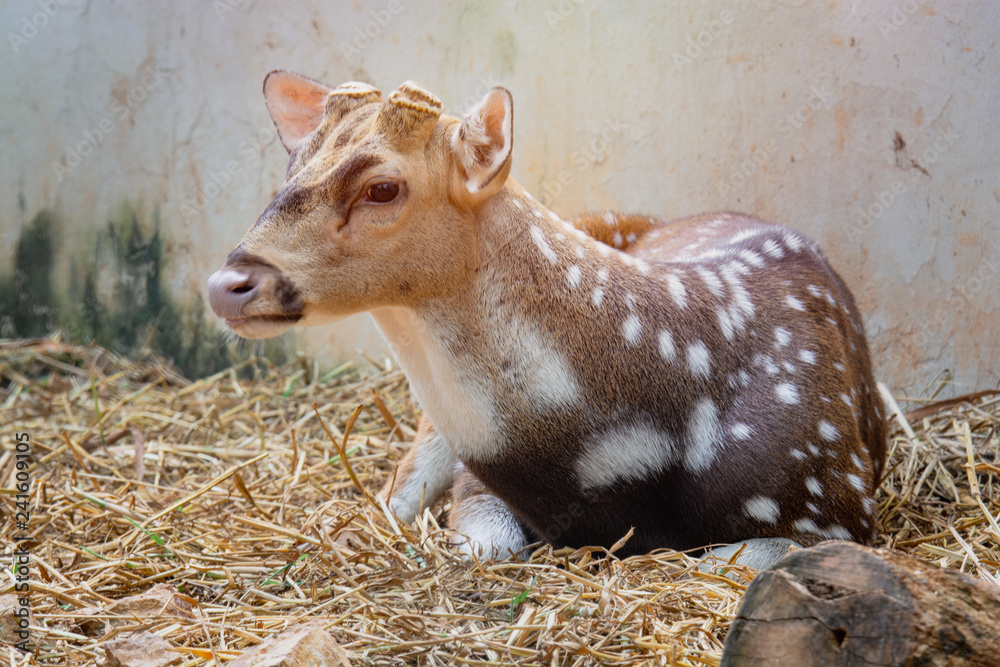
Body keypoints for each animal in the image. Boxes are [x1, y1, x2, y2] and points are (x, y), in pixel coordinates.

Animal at [207, 71, 887, 570]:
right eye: (291, 168)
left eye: (381, 187)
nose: (226, 284)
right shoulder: (475, 480)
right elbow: (486, 544)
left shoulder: (837, 503)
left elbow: (727, 559)